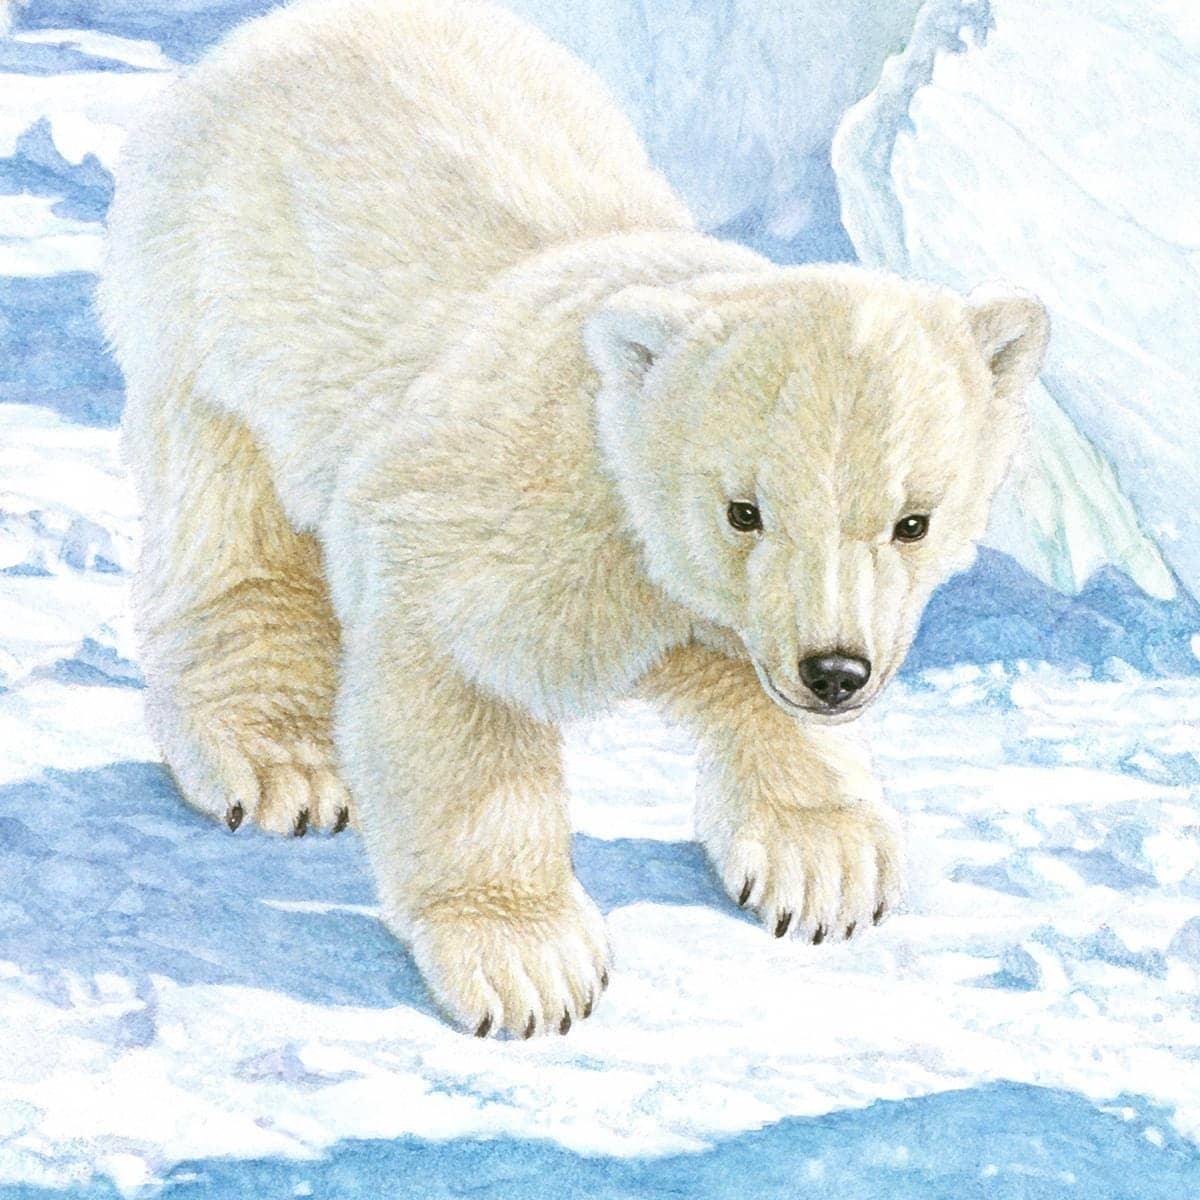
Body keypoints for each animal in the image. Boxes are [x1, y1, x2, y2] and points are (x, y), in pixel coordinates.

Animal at [98, 0, 1048, 1037]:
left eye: (913, 521)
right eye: (743, 511)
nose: (836, 673)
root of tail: (260, 39)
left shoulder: (710, 605)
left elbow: (739, 676)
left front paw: (828, 864)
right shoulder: (496, 508)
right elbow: (459, 682)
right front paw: (530, 963)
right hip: (215, 308)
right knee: (231, 522)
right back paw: (281, 761)